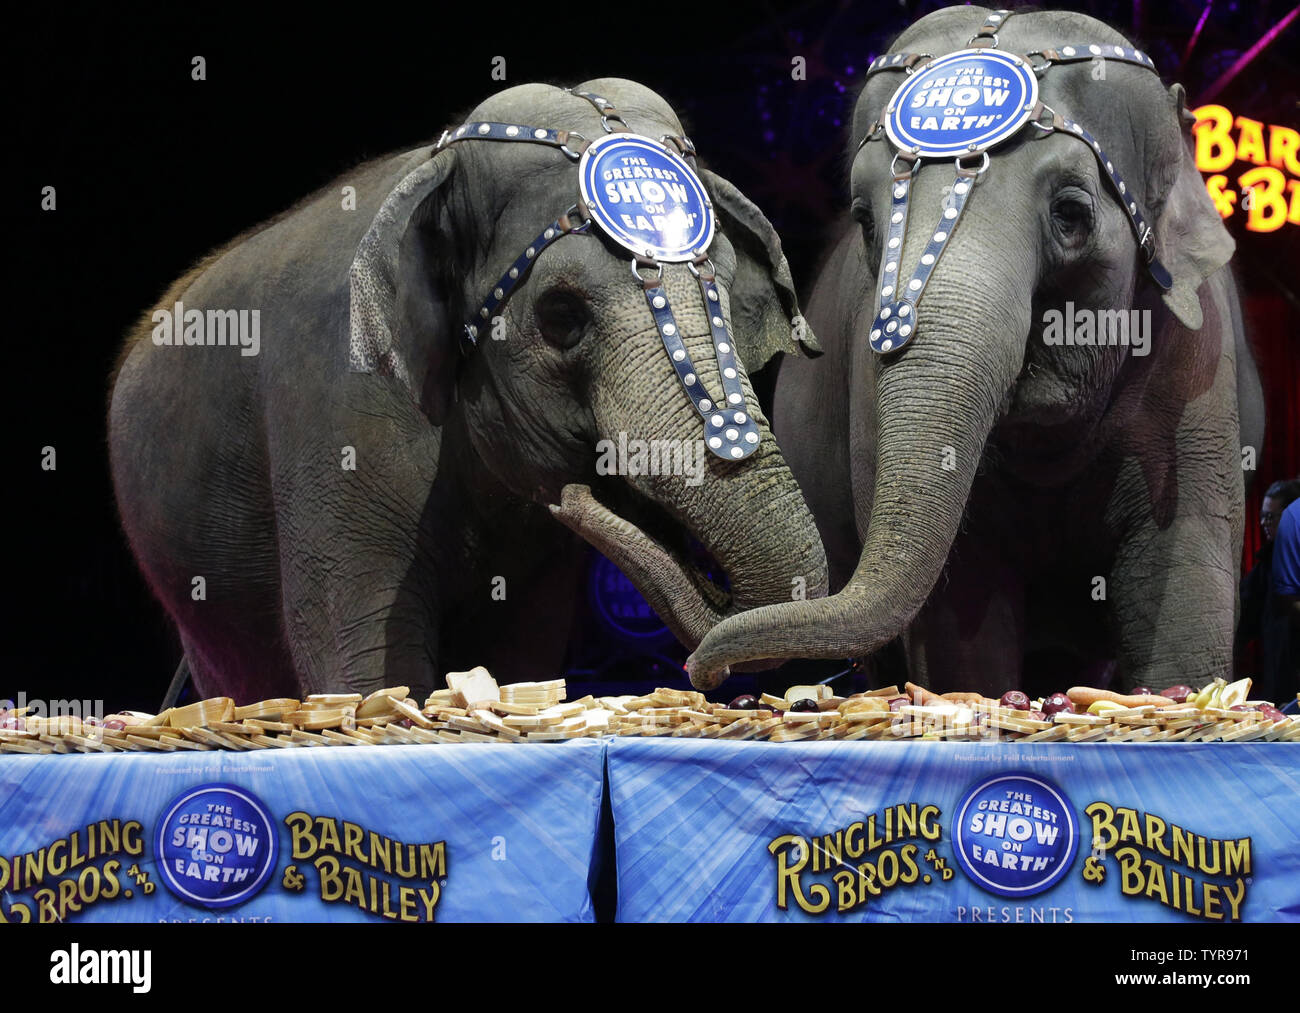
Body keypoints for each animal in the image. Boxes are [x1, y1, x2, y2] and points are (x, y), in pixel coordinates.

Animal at [108, 78, 827, 703]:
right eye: (562, 317)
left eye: (722, 288)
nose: (580, 497)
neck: (435, 165)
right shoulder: (336, 414)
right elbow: (366, 659)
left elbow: (522, 650)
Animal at [686, 6, 1264, 696]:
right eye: (865, 219)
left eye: (1071, 214)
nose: (703, 670)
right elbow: (961, 618)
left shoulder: (1195, 368)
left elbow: (1185, 596)